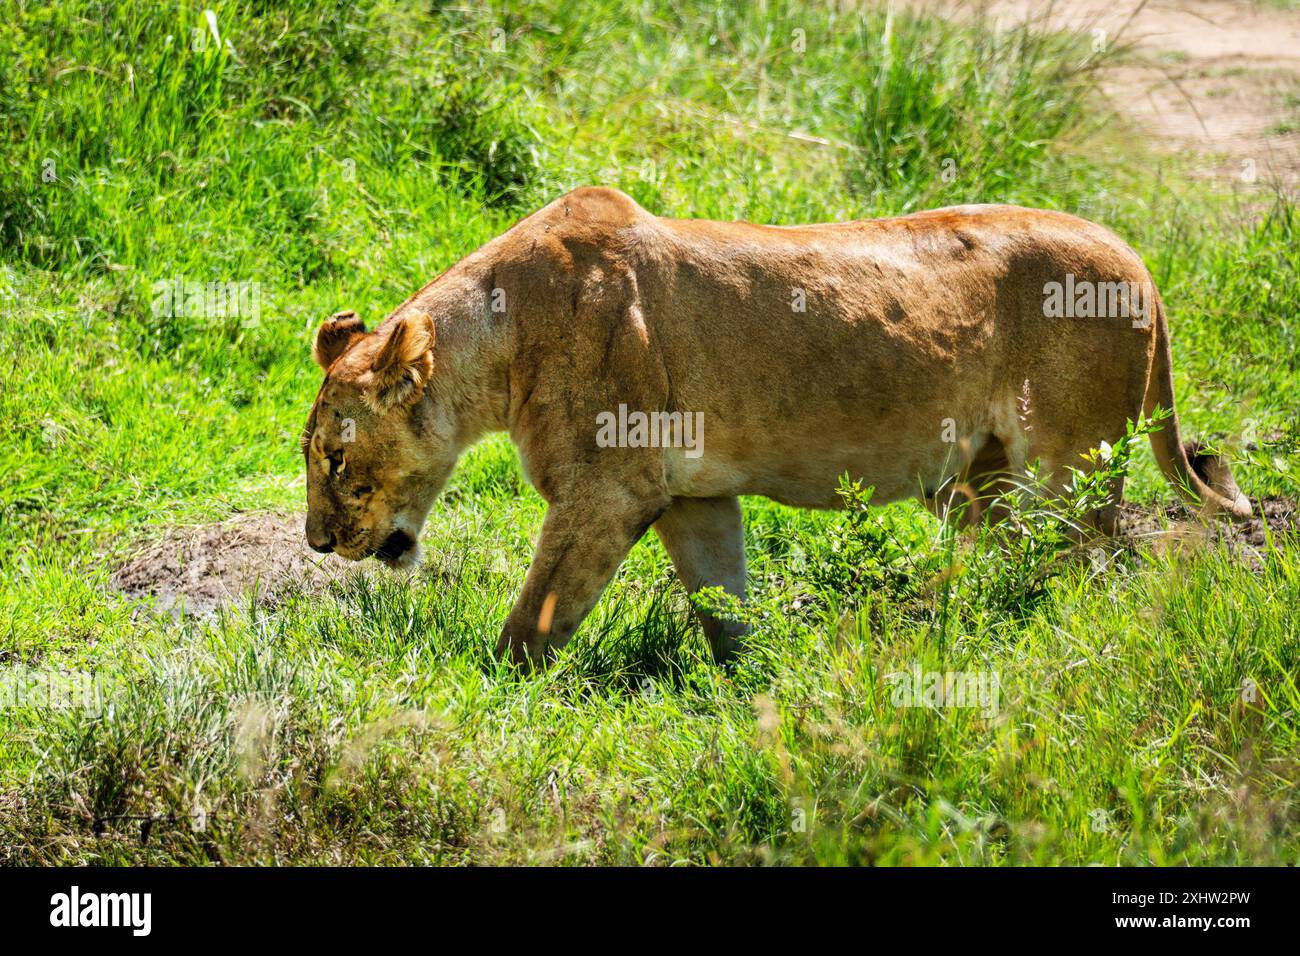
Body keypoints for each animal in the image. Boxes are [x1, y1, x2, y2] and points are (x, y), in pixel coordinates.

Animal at [302, 186, 1250, 666]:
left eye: (335, 459)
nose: (317, 542)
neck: (495, 347)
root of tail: (1138, 260)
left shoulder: (607, 488)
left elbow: (536, 620)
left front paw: (495, 693)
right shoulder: (689, 495)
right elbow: (723, 604)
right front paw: (750, 687)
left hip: (1070, 467)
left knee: (1096, 567)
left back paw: (1053, 643)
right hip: (978, 481)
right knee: (1021, 560)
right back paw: (980, 627)